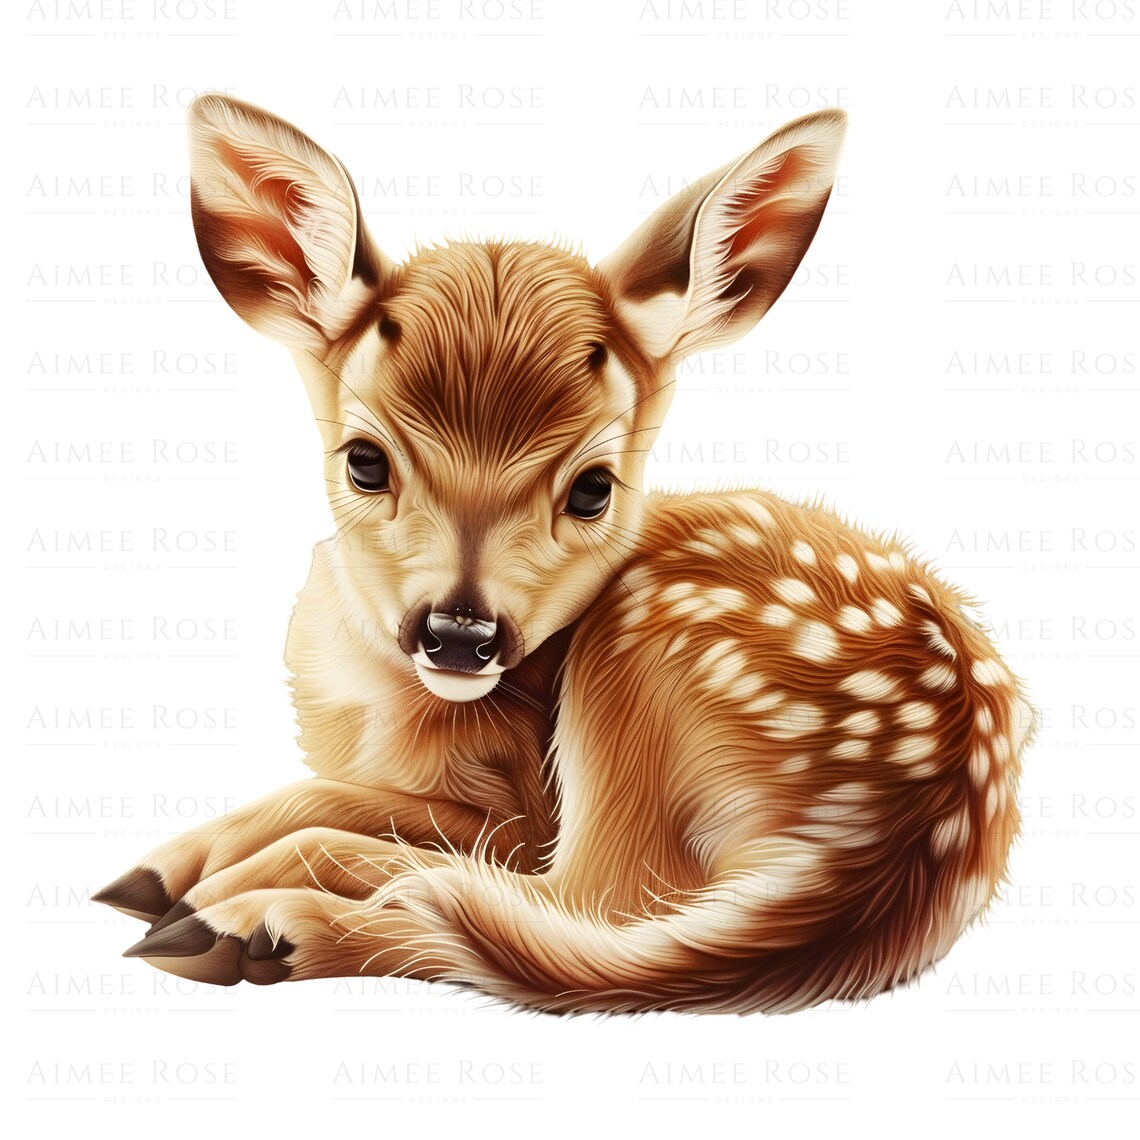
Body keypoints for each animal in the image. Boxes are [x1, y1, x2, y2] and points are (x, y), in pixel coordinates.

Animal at [92, 94, 1034, 1013]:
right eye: (364, 460)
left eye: (593, 487)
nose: (461, 636)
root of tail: (895, 857)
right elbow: (327, 790)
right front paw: (158, 871)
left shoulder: (521, 808)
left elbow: (384, 815)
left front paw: (200, 886)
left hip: (644, 667)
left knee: (580, 902)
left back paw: (245, 924)